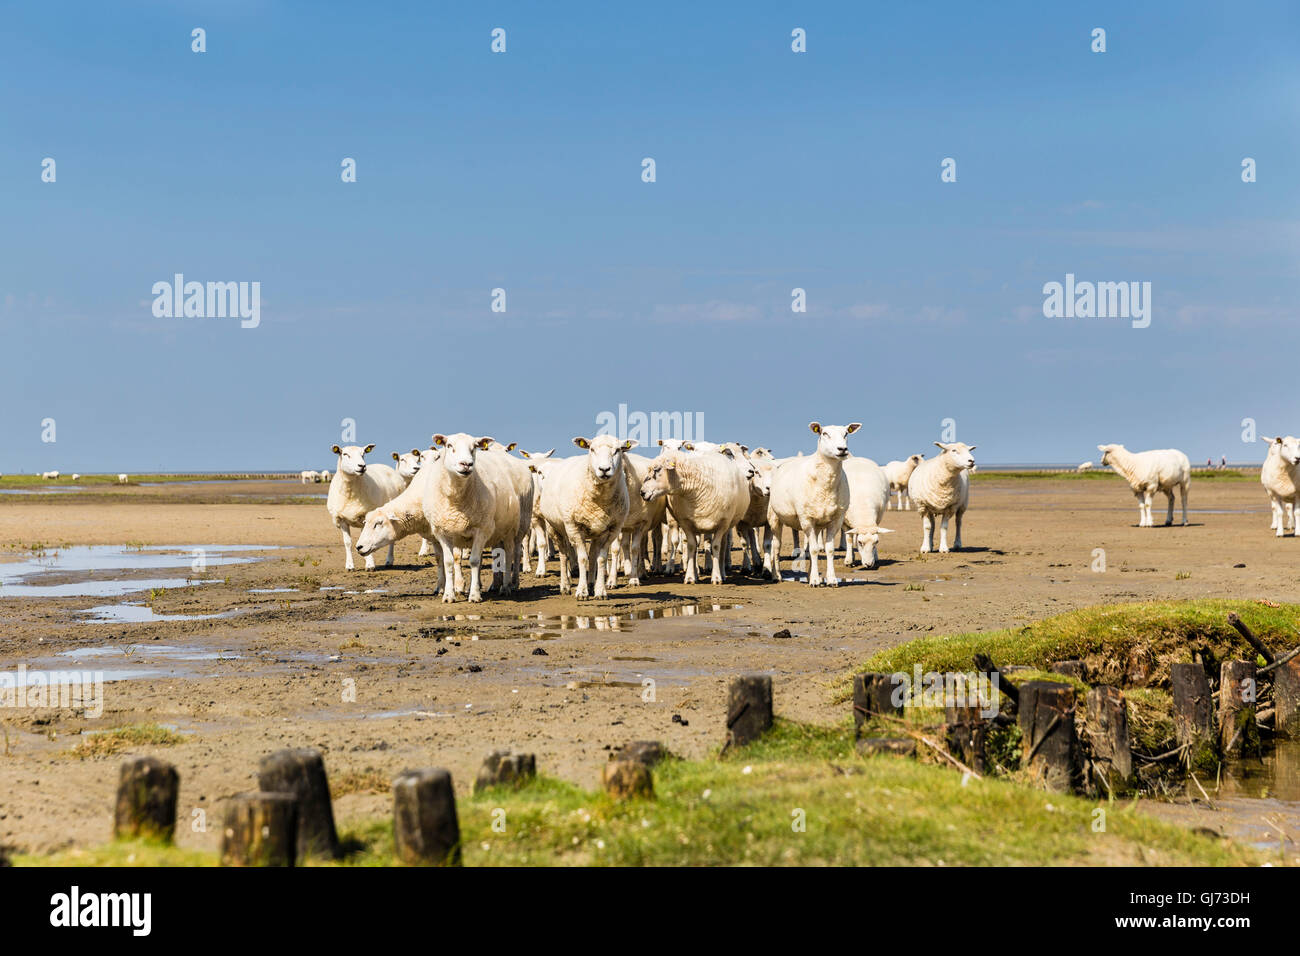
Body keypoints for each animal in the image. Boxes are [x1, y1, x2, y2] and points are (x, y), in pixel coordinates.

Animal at [535, 435, 636, 599]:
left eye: (618, 450)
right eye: (591, 449)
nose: (604, 469)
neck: (600, 500)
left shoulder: (611, 530)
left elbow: (600, 558)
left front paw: (600, 590)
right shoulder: (575, 527)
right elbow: (582, 558)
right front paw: (581, 591)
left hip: (595, 531)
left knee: (593, 554)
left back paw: (591, 584)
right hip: (555, 527)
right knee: (563, 554)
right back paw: (565, 585)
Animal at [640, 445, 749, 585]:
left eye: (657, 469)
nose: (642, 492)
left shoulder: (722, 524)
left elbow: (716, 546)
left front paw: (716, 577)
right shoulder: (686, 522)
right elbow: (691, 546)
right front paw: (690, 576)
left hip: (727, 524)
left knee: (724, 545)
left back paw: (722, 573)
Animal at [766, 422, 861, 586]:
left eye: (846, 434)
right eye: (824, 433)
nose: (842, 449)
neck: (826, 485)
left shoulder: (836, 519)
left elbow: (828, 550)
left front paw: (831, 579)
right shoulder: (806, 518)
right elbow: (815, 550)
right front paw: (816, 581)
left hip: (817, 523)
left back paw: (809, 575)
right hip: (775, 517)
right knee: (776, 546)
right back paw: (776, 575)